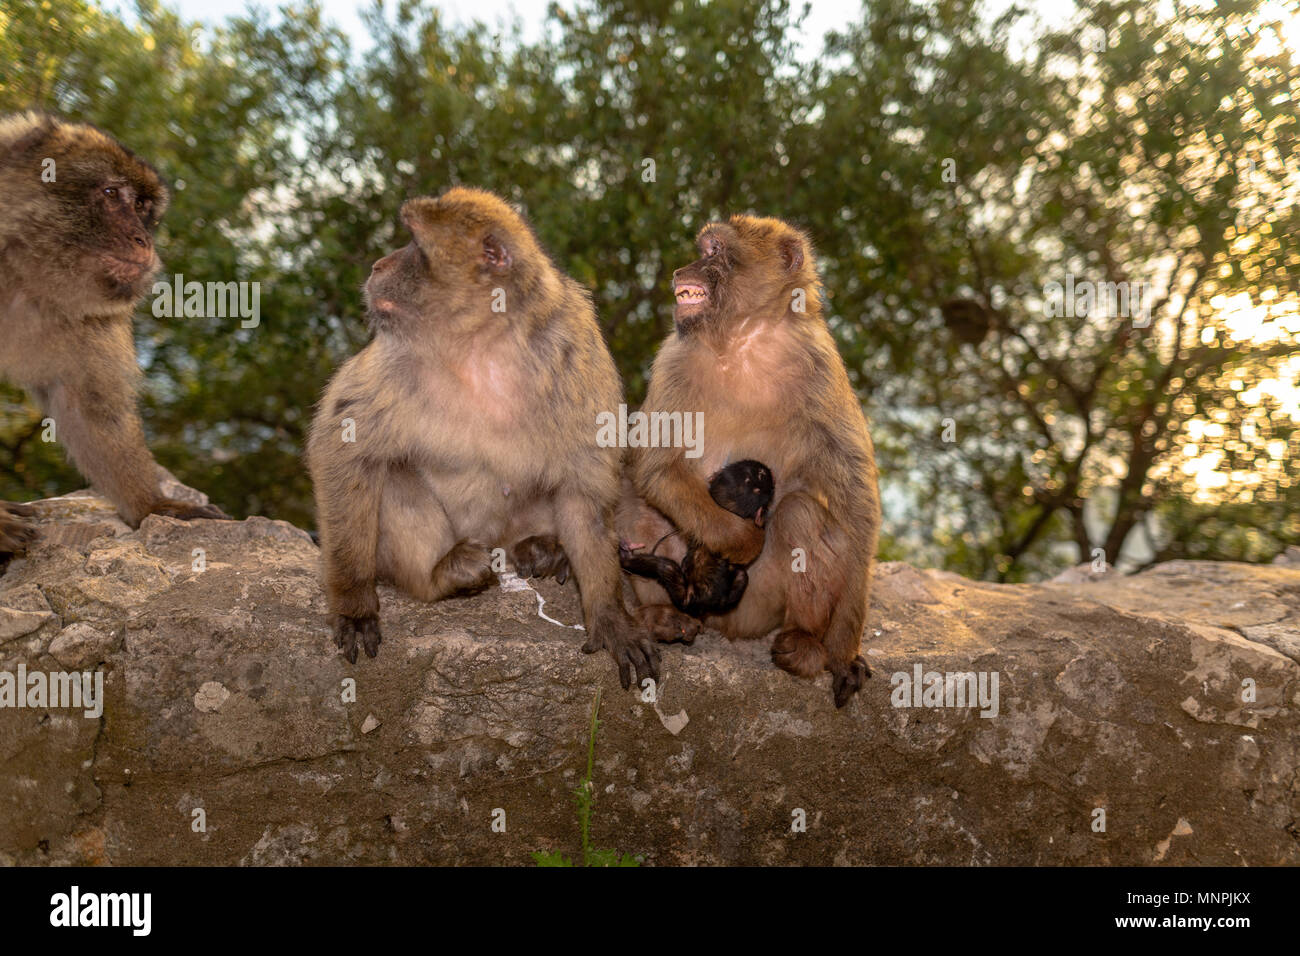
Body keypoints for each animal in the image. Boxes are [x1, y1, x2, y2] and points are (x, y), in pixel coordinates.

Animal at [0, 112, 227, 553]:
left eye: (141, 206)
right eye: (110, 192)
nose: (144, 239)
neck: (21, 273)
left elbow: (88, 402)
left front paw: (152, 504)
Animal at [306, 186, 658, 690]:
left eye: (414, 244)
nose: (377, 265)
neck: (485, 344)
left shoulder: (577, 354)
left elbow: (583, 493)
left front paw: (610, 615)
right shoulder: (395, 359)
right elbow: (342, 447)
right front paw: (354, 601)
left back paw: (541, 549)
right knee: (390, 474)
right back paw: (443, 575)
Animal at [620, 458, 772, 617]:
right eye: (760, 475)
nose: (765, 469)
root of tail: (697, 602)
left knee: (741, 576)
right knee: (668, 568)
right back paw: (627, 556)